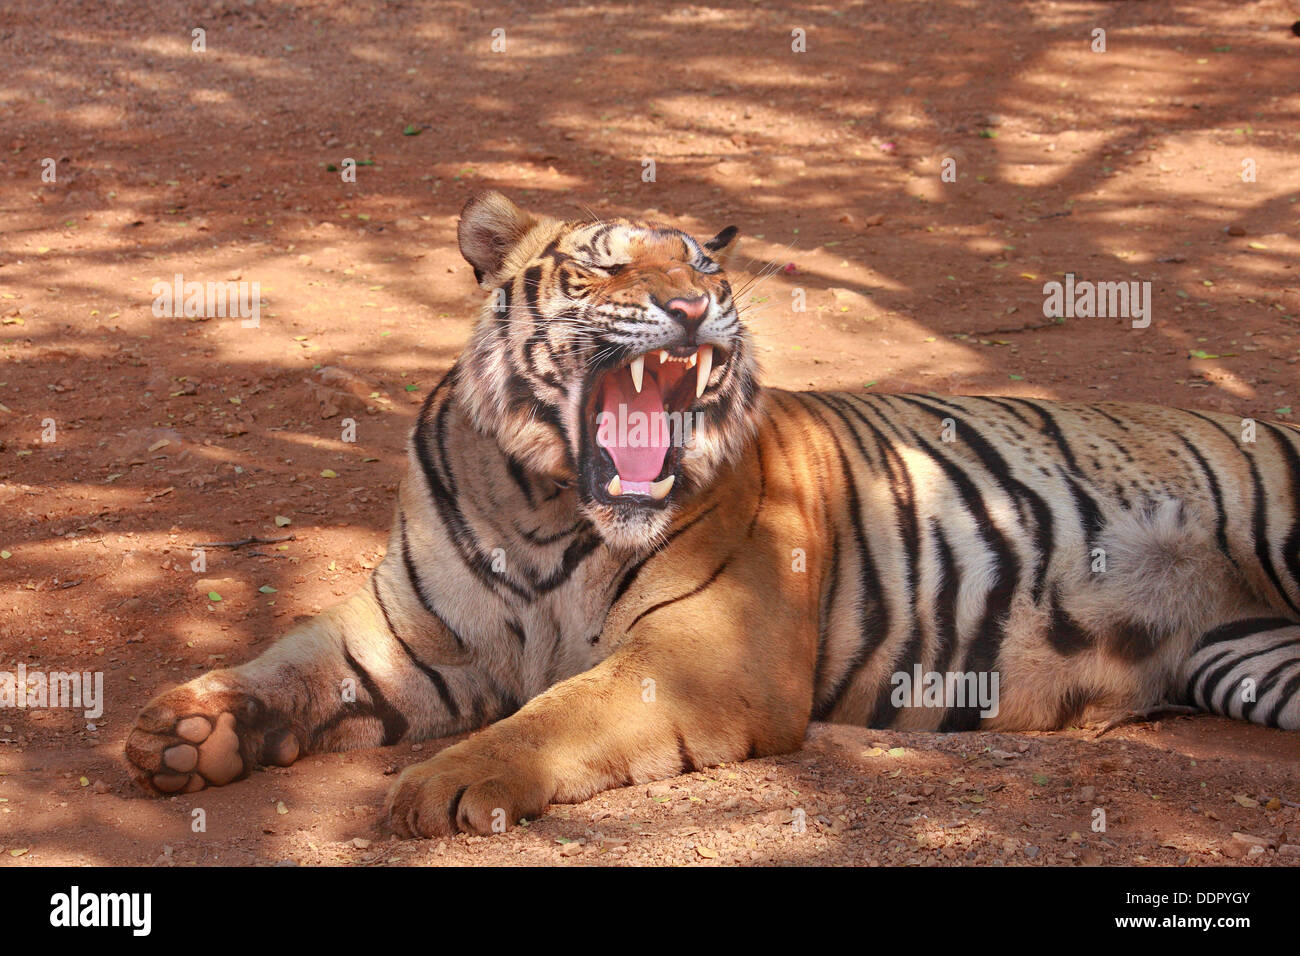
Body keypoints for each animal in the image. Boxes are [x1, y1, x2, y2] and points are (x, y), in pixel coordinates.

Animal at [125, 191, 1300, 838]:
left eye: (703, 264)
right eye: (603, 263)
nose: (696, 306)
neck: (540, 503)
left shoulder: (701, 650)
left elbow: (557, 712)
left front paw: (448, 785)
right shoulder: (416, 637)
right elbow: (294, 656)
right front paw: (188, 731)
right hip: (1255, 659)